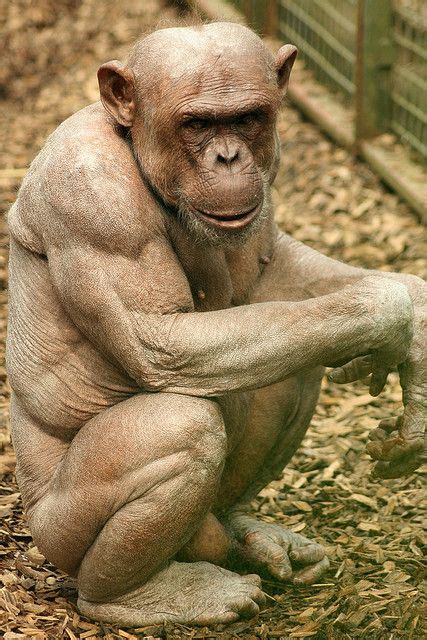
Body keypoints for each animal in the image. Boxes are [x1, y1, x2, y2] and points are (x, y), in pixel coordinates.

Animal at [6, 22, 426, 627]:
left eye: (248, 117)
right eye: (198, 124)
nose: (227, 157)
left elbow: (271, 264)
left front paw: (415, 313)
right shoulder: (91, 197)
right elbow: (156, 337)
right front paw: (388, 314)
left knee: (293, 370)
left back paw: (248, 533)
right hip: (58, 531)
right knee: (180, 428)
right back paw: (141, 596)